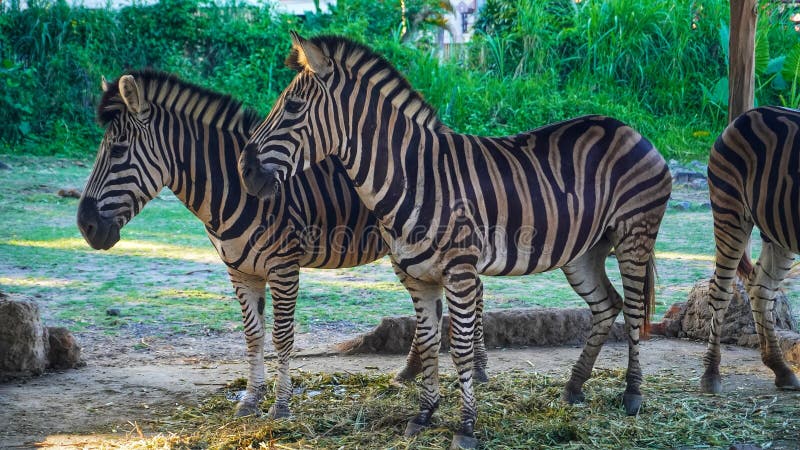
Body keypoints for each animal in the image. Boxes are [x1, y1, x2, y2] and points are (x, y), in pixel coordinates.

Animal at [76, 70, 480, 419]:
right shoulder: (240, 271)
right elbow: (253, 337)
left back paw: (478, 372)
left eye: (118, 150)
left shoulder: (283, 266)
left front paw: (281, 406)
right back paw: (416, 373)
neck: (232, 188)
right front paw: (250, 399)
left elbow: (282, 336)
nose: (85, 226)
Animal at [239, 33, 672, 449]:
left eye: (293, 106)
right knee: (607, 304)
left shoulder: (460, 271)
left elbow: (459, 348)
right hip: (583, 252)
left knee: (634, 309)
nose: (245, 172)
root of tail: (629, 128)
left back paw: (632, 395)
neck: (411, 175)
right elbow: (431, 342)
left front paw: (466, 427)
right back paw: (573, 386)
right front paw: (424, 415)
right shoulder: (417, 276)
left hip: (634, 234)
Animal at [702, 106, 800, 393]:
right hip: (730, 212)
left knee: (761, 288)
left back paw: (781, 369)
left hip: (779, 231)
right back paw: (711, 374)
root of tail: (746, 114)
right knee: (720, 290)